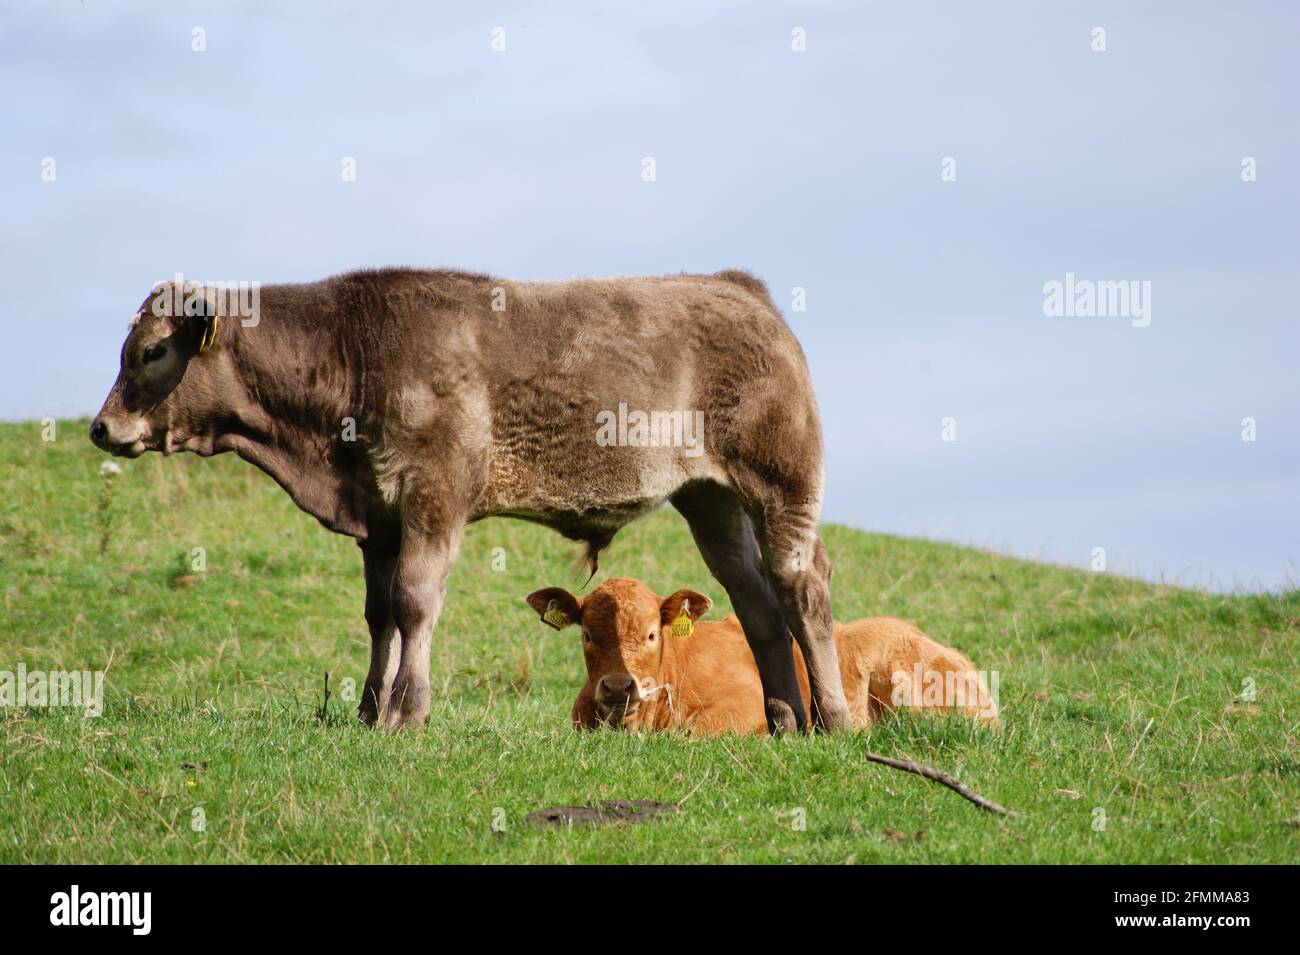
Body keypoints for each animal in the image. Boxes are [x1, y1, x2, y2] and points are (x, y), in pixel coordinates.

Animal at [91, 268, 850, 732]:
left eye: (153, 351)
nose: (102, 427)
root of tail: (734, 286)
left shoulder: (435, 493)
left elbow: (415, 602)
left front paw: (407, 711)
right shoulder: (379, 517)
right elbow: (379, 613)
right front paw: (368, 709)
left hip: (781, 484)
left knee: (801, 587)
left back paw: (835, 719)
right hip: (711, 498)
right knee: (756, 600)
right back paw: (786, 719)